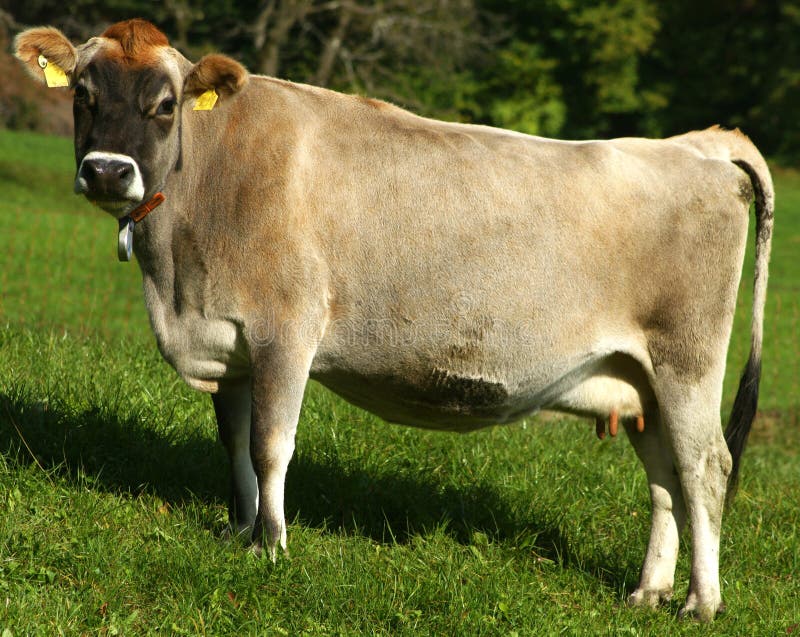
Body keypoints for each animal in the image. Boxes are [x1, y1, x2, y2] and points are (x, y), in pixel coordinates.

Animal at [15, 19, 773, 621]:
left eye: (166, 104)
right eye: (81, 95)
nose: (108, 171)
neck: (176, 273)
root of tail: (697, 143)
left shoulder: (285, 331)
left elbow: (270, 445)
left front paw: (271, 544)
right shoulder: (228, 344)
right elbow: (233, 444)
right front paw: (238, 529)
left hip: (688, 360)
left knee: (705, 466)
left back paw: (702, 601)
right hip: (639, 380)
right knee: (666, 477)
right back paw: (647, 591)